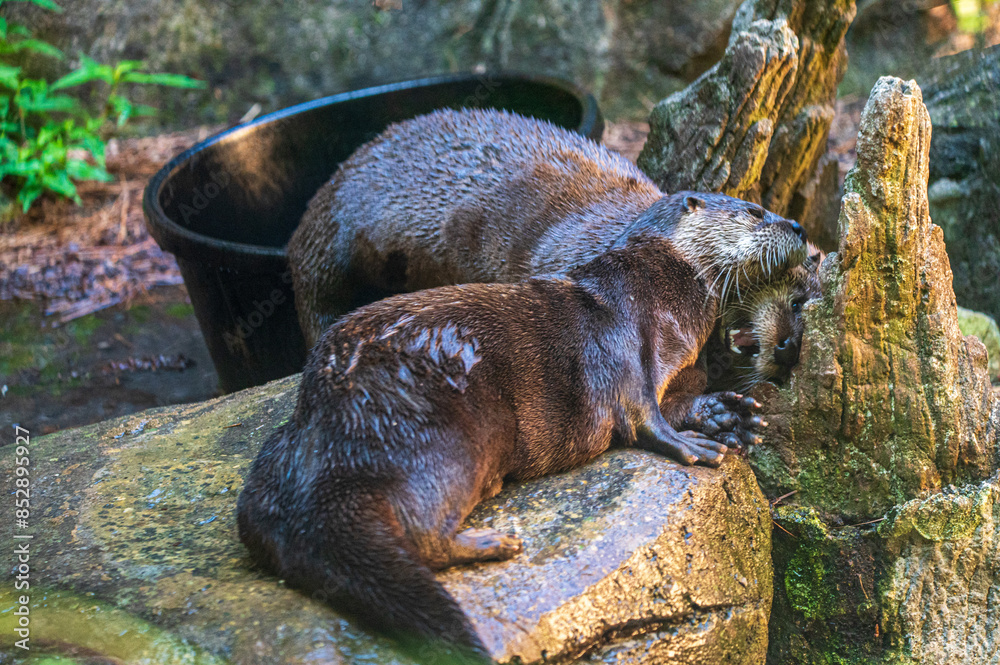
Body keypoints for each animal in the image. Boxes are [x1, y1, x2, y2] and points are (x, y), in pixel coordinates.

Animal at [240, 192, 807, 664]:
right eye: (756, 211)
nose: (799, 225)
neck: (667, 298)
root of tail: (329, 441)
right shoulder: (623, 336)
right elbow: (642, 414)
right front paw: (692, 445)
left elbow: (680, 402)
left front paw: (729, 416)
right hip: (451, 436)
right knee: (422, 535)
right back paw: (494, 544)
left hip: (279, 457)